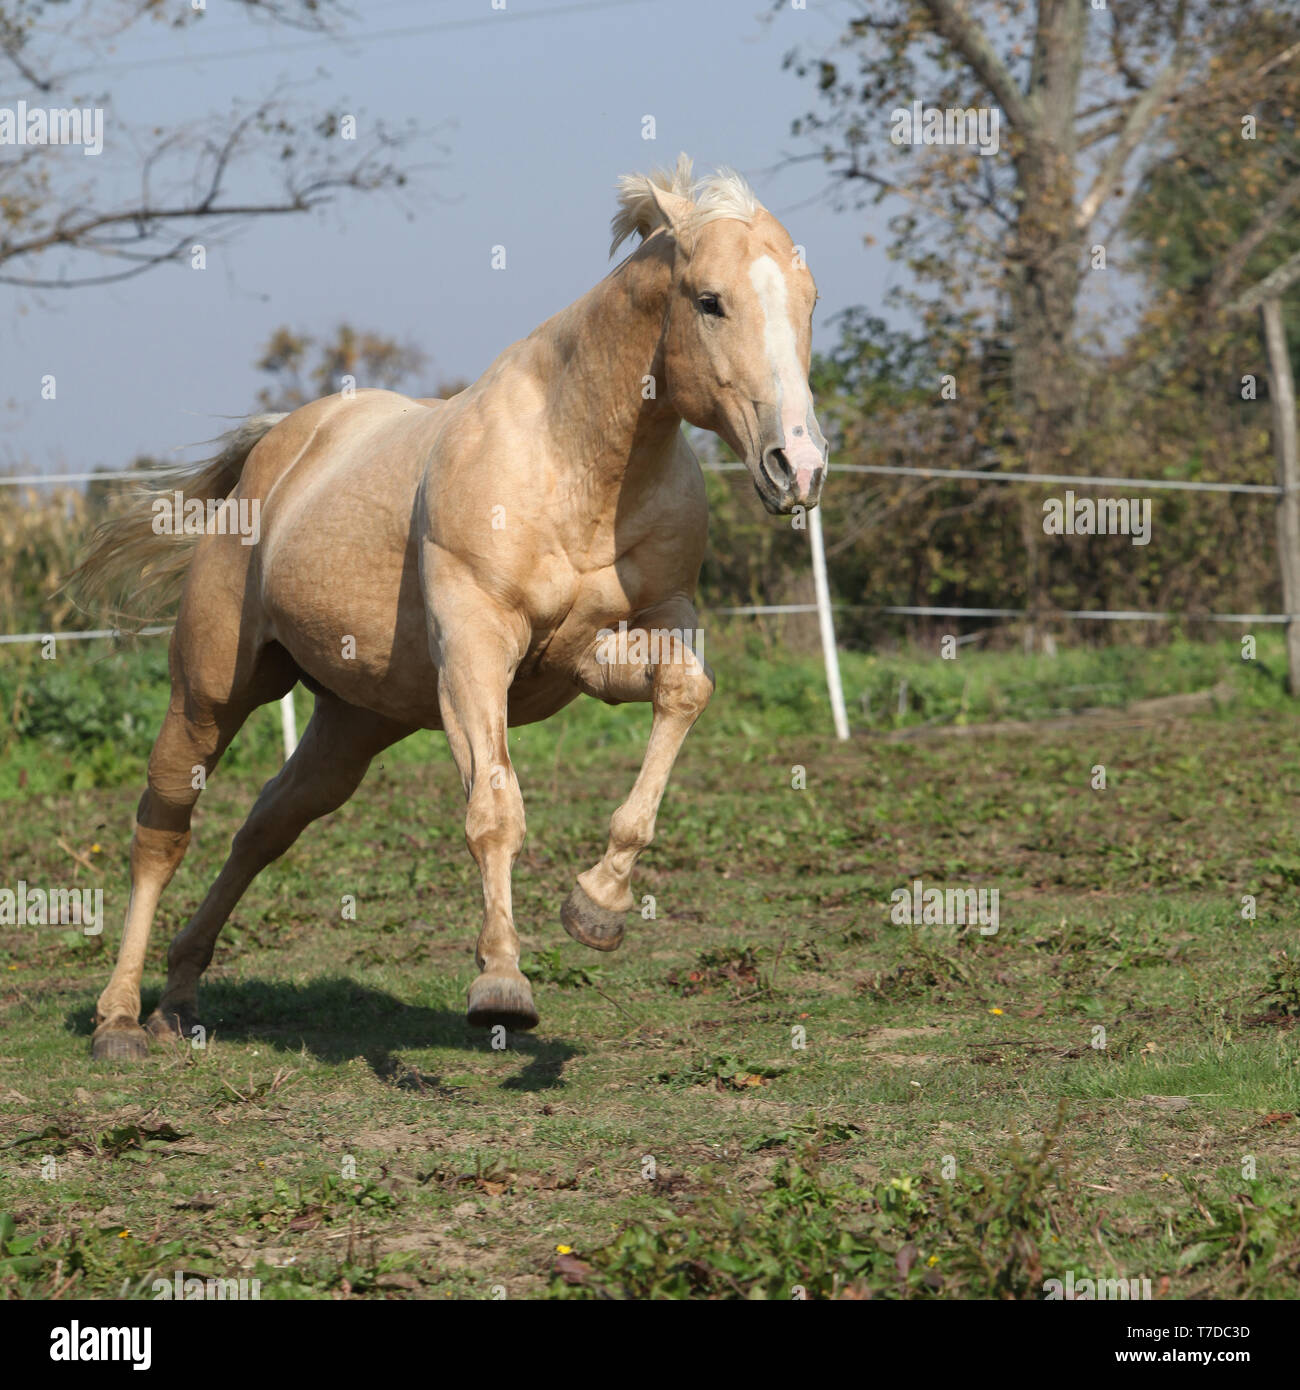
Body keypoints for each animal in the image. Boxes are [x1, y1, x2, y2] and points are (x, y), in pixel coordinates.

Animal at [77, 154, 828, 1061]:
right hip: (212, 691)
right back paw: (120, 1019)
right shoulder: (475, 646)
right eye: (711, 300)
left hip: (354, 725)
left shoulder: (617, 640)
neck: (573, 464)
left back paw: (180, 1001)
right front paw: (502, 984)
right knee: (163, 828)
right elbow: (494, 809)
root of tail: (278, 446)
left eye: (810, 300)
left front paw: (598, 905)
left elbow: (685, 694)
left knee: (264, 826)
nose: (799, 467)